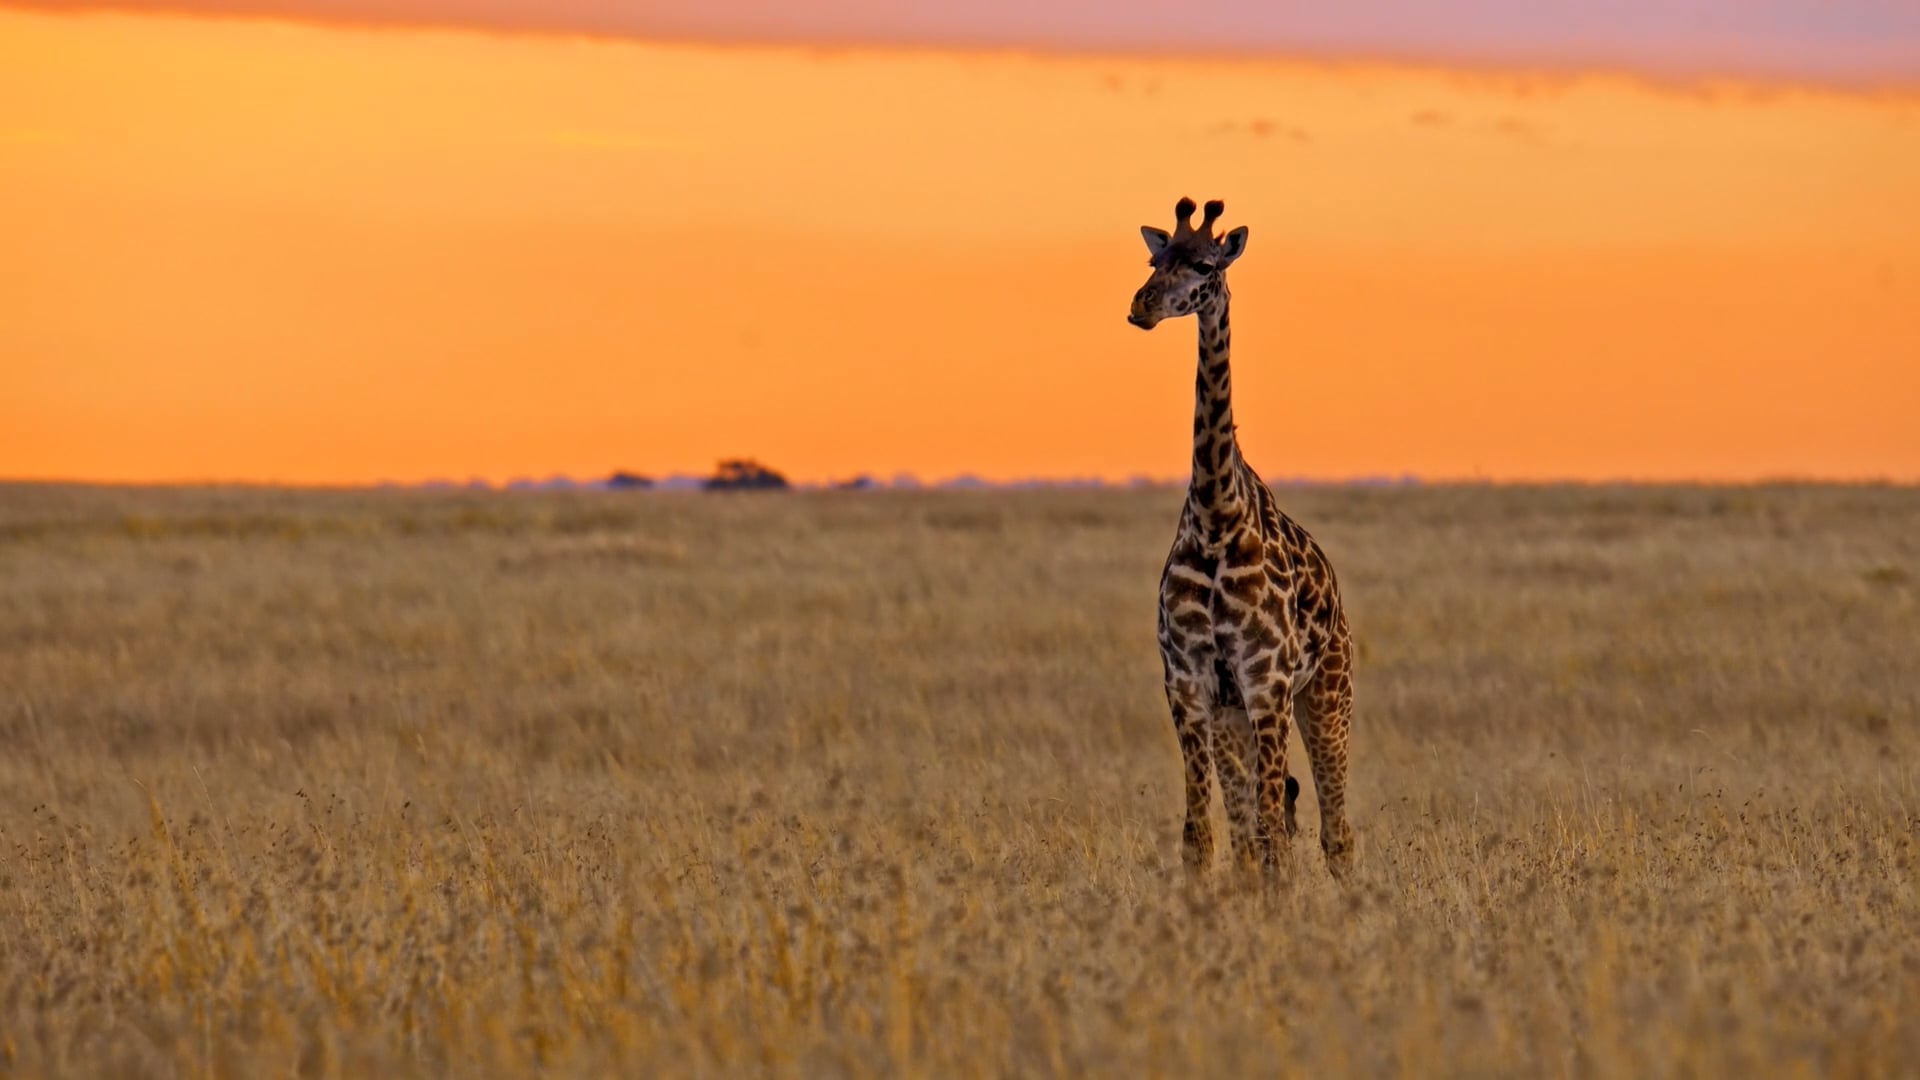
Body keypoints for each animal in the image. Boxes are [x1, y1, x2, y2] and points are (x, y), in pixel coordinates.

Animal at [1128, 197, 1355, 878]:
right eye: (1154, 261)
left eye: (1205, 264)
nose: (1142, 306)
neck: (1214, 516)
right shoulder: (1189, 684)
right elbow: (1202, 838)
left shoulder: (1266, 683)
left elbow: (1275, 836)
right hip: (1235, 715)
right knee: (1251, 830)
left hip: (1328, 691)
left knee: (1335, 833)